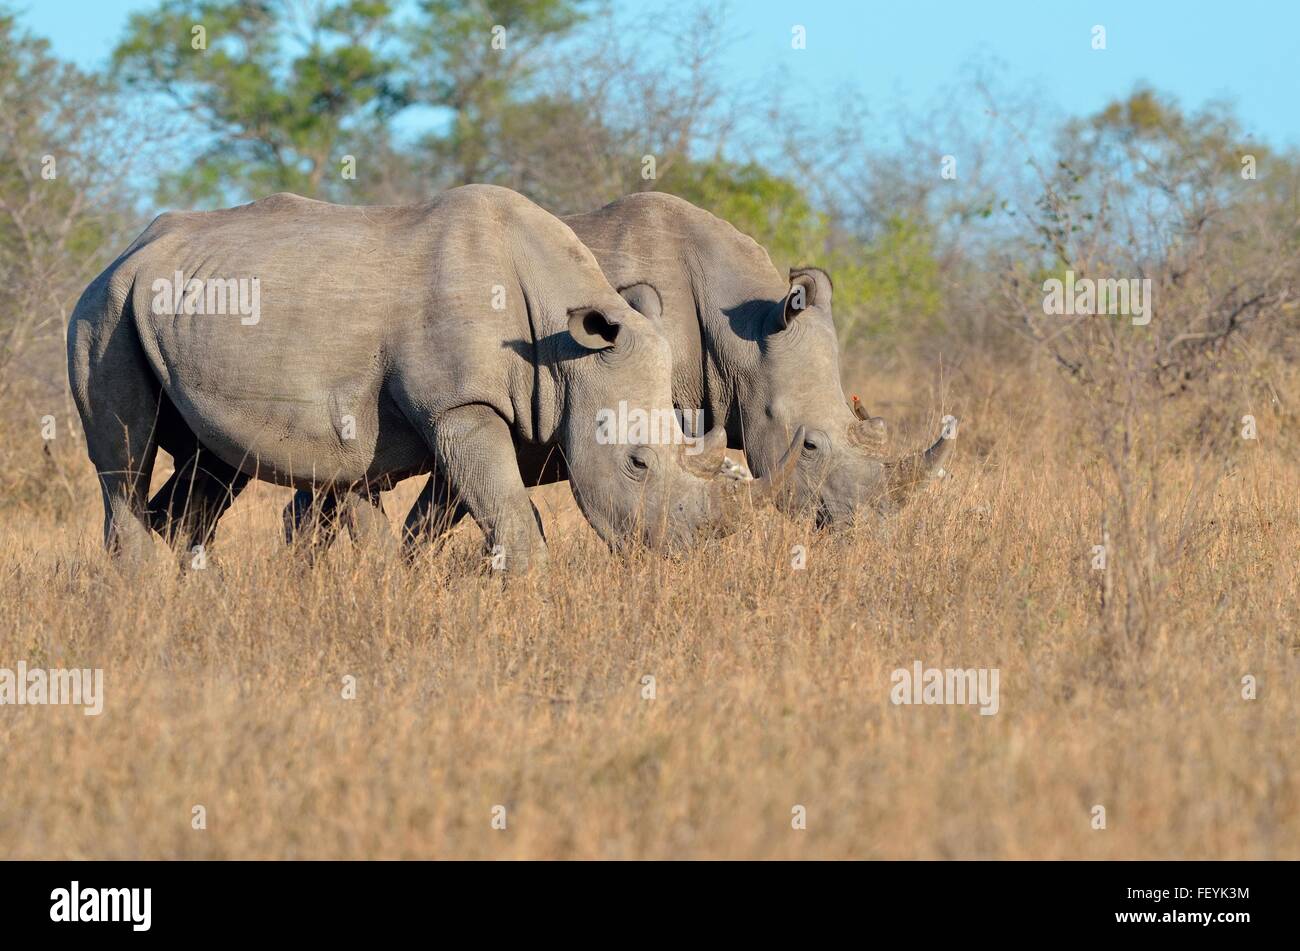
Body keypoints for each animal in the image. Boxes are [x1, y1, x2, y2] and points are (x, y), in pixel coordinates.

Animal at [68, 185, 801, 571]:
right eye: (639, 463)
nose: (684, 556)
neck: (564, 346)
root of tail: (122, 252)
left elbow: (458, 510)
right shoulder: (460, 405)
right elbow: (510, 510)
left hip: (160, 308)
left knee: (210, 468)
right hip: (102, 311)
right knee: (124, 456)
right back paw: (142, 592)